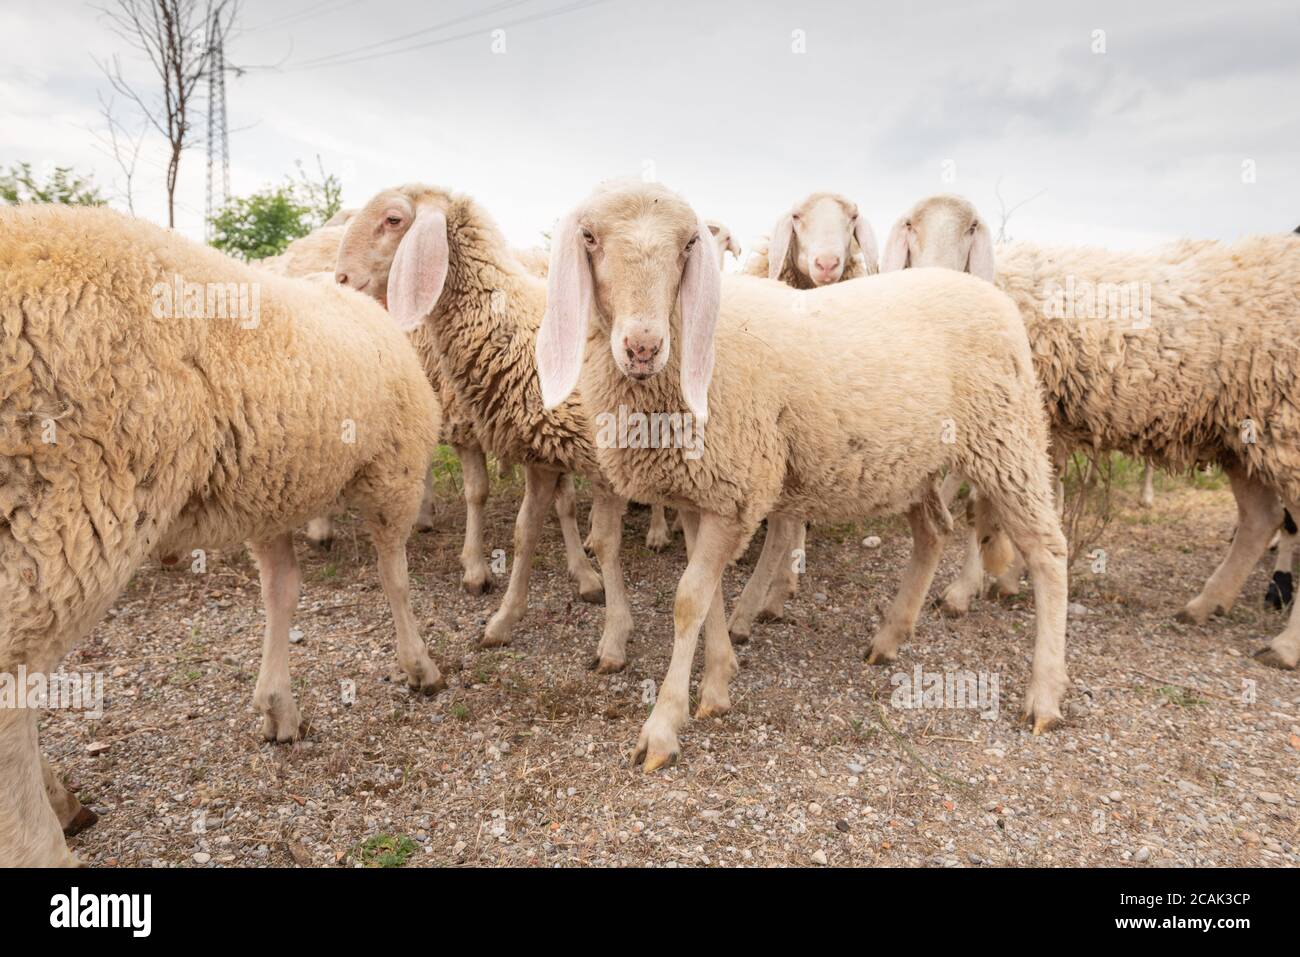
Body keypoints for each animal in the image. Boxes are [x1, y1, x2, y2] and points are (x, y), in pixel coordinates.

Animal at [0, 205, 443, 865]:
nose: (344, 274)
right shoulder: (395, 468)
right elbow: (396, 578)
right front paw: (419, 666)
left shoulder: (272, 492)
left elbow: (282, 592)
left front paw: (278, 706)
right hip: (53, 510)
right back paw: (44, 836)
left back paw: (61, 799)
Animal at [537, 180, 1070, 769]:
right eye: (589, 238)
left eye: (687, 246)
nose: (642, 346)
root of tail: (989, 292)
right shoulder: (709, 495)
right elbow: (710, 595)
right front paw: (719, 682)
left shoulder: (735, 491)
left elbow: (689, 601)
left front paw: (663, 726)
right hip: (915, 464)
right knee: (934, 533)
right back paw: (889, 638)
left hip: (1008, 441)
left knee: (1048, 553)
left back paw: (1045, 694)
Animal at [883, 194, 1300, 669]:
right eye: (910, 225)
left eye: (973, 228)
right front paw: (1001, 580)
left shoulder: (1008, 423)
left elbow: (982, 510)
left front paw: (964, 591)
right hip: (1241, 434)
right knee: (1259, 520)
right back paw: (1205, 605)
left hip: (1284, 429)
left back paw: (1285, 646)